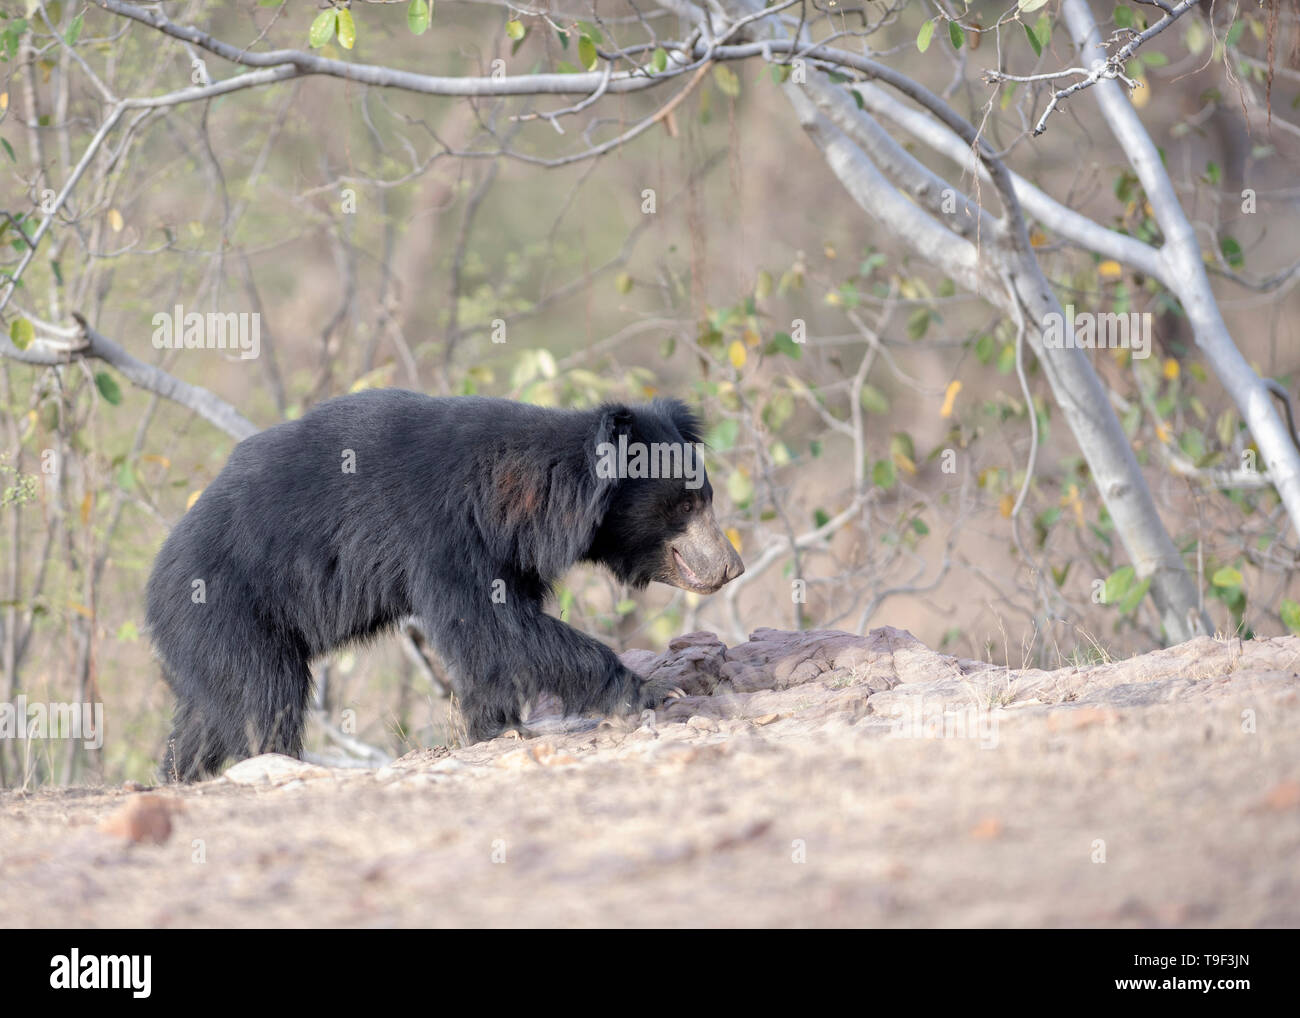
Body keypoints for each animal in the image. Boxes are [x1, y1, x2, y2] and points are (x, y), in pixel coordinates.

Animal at [146, 389, 744, 781]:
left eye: (706, 496)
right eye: (684, 505)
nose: (731, 567)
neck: (525, 498)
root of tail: (154, 583)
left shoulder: (510, 554)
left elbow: (496, 638)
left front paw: (497, 727)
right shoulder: (447, 533)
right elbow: (489, 625)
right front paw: (651, 690)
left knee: (209, 711)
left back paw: (179, 773)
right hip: (229, 606)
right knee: (263, 696)